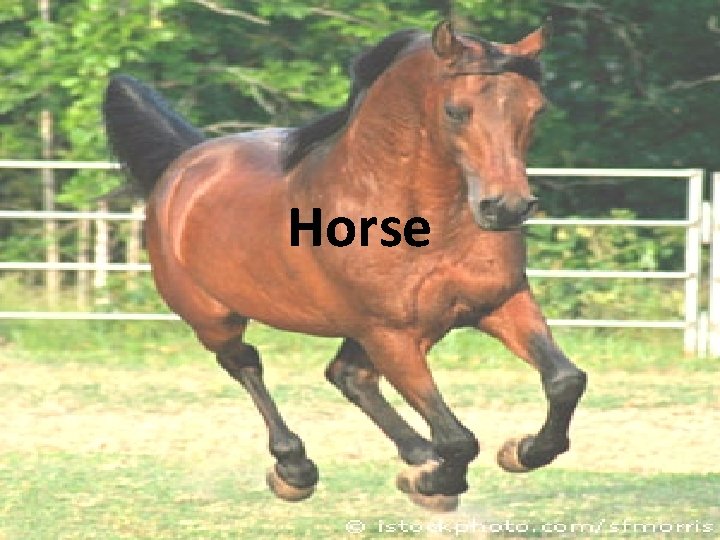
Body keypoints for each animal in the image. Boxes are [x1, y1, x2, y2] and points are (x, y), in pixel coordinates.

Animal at [103, 20, 587, 512]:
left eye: (536, 110)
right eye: (456, 111)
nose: (505, 207)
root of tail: (184, 165)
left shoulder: (499, 301)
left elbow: (565, 381)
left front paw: (522, 452)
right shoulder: (391, 334)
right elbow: (457, 439)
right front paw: (434, 483)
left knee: (348, 376)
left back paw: (417, 456)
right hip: (215, 319)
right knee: (246, 365)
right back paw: (296, 469)